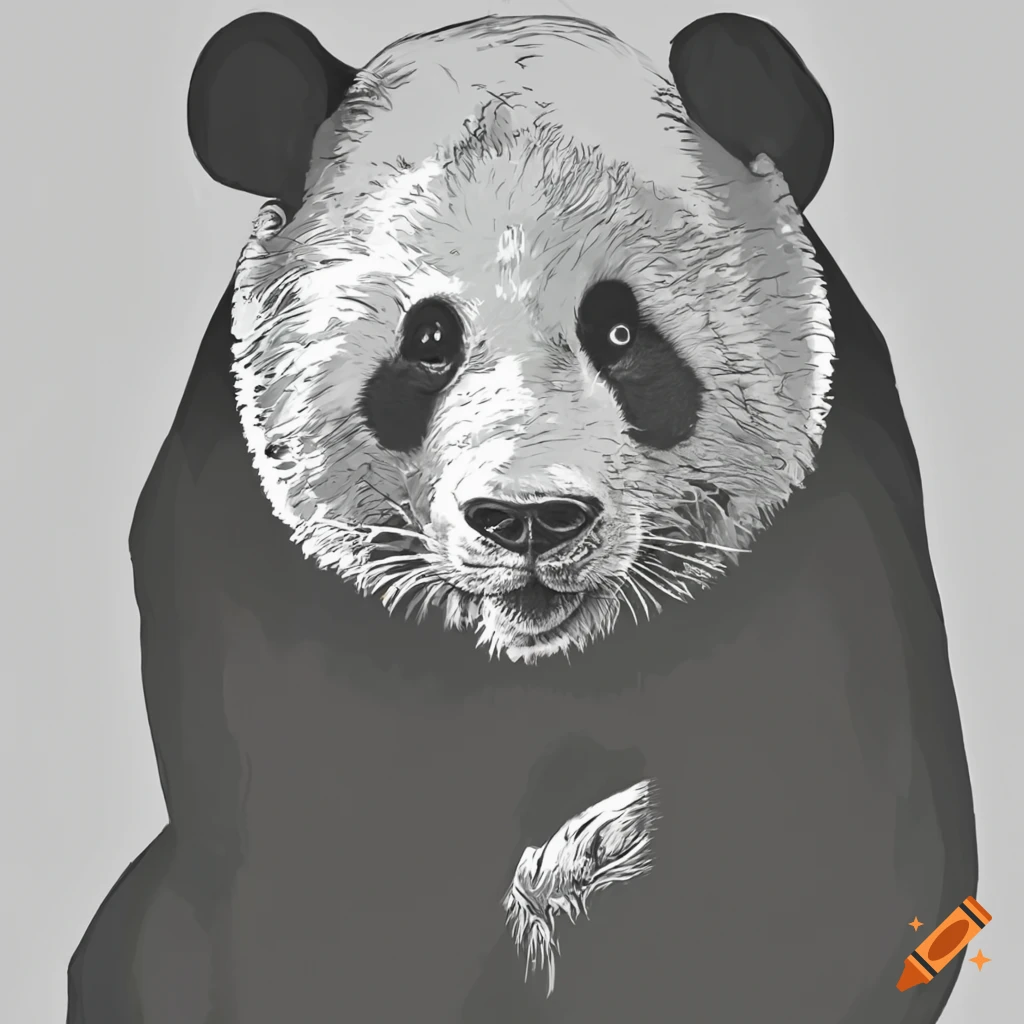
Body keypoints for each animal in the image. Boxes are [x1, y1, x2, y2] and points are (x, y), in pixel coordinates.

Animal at [67, 12, 978, 1024]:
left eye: (620, 334)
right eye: (429, 342)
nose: (531, 521)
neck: (540, 658)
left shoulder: (827, 556)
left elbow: (813, 860)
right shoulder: (259, 591)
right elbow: (328, 882)